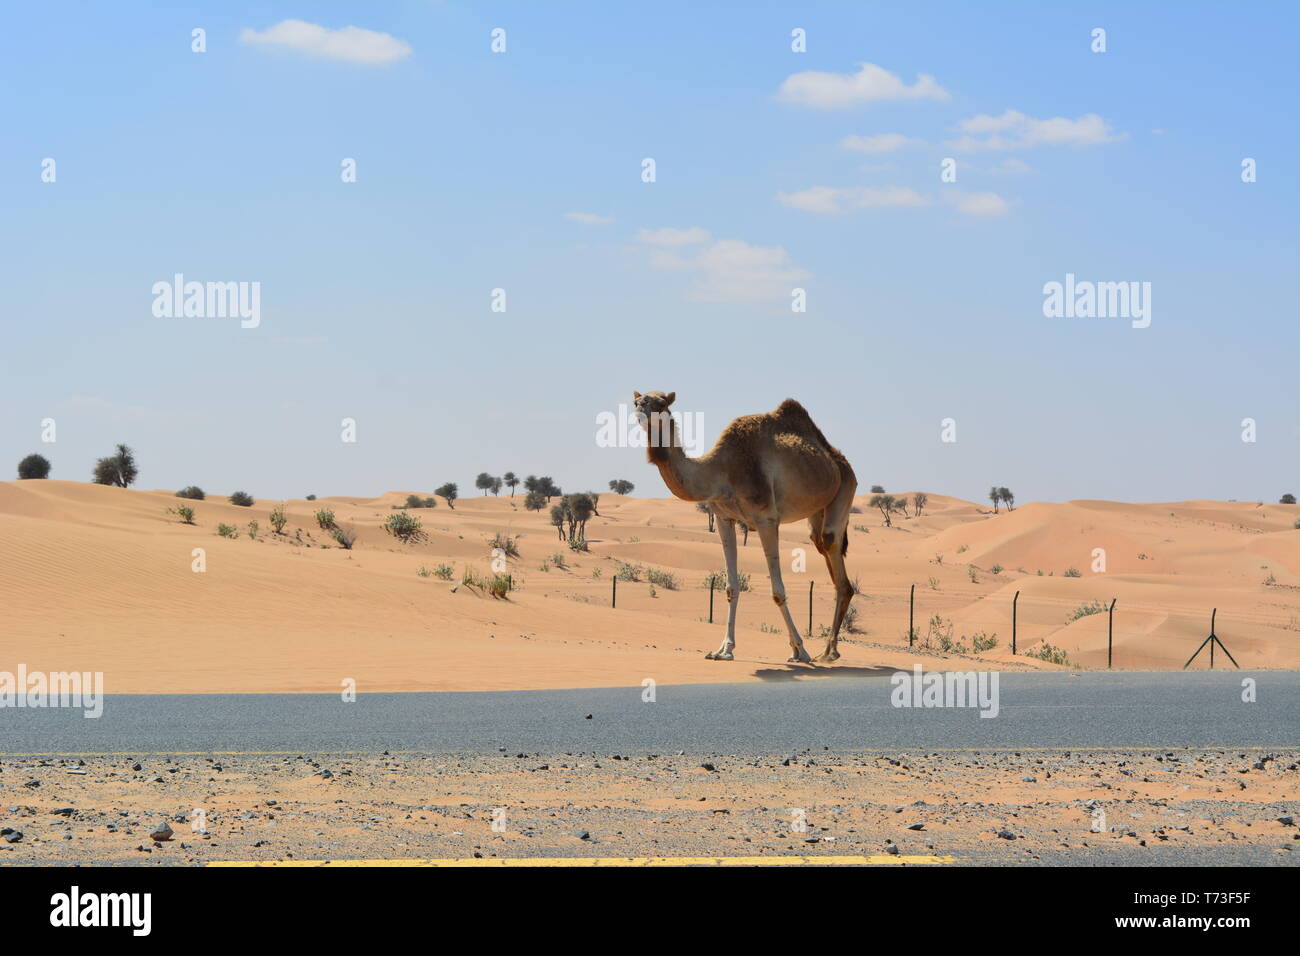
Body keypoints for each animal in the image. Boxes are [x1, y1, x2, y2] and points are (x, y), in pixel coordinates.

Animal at [632, 391, 857, 664]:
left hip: (845, 488)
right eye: (637, 401)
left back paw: (827, 652)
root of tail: (838, 459)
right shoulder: (723, 518)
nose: (640, 410)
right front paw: (724, 649)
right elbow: (731, 587)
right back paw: (828, 650)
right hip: (817, 510)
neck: (721, 470)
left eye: (661, 403)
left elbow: (778, 591)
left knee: (834, 550)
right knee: (824, 550)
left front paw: (799, 650)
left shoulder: (766, 518)